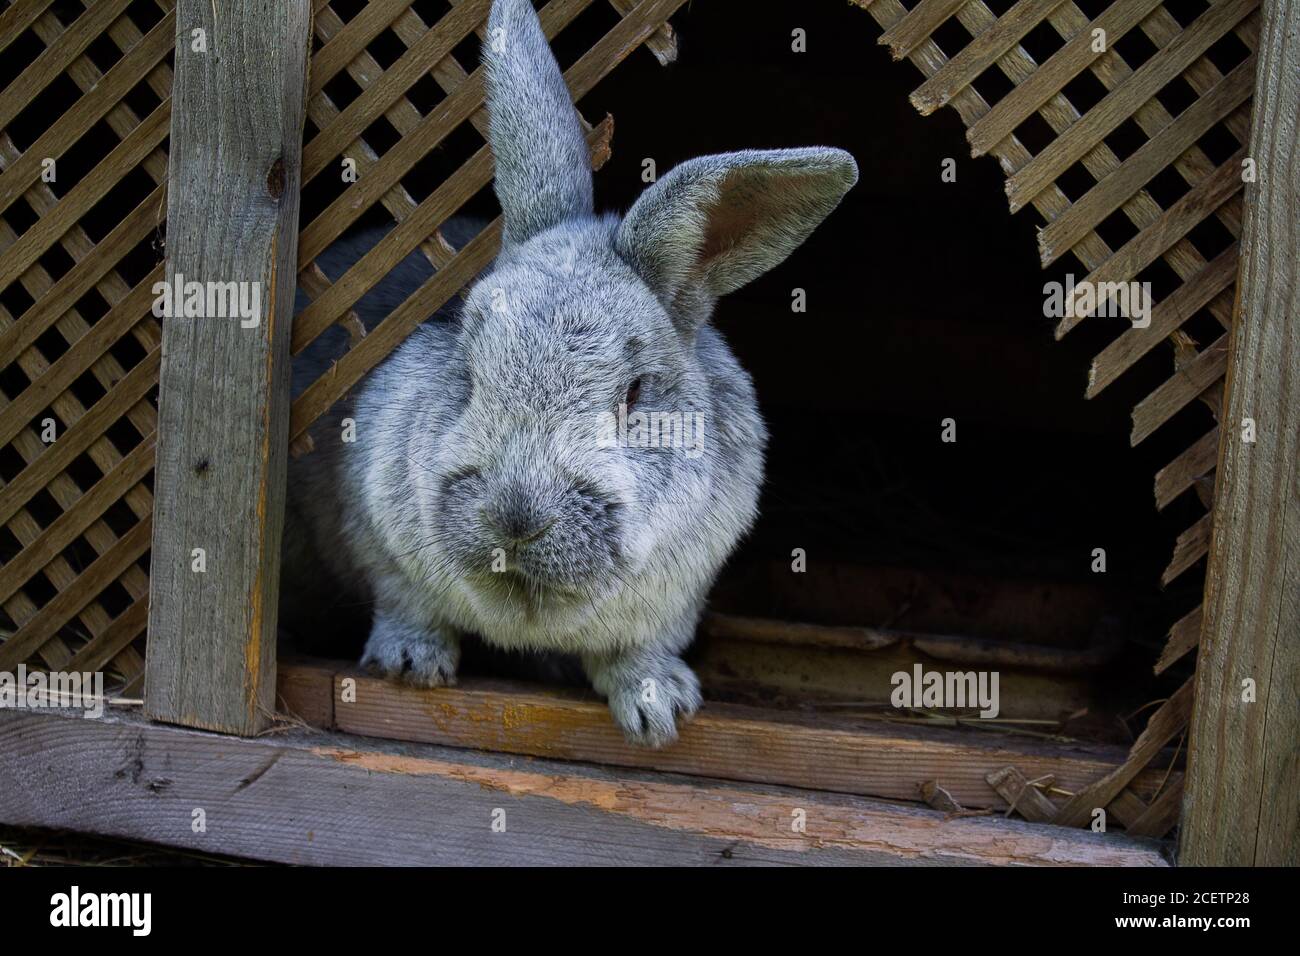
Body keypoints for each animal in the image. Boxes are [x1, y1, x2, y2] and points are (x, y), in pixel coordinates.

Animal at [282, 0, 858, 747]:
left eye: (635, 393)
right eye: (468, 370)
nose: (515, 516)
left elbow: (638, 651)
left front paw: (657, 712)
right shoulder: (374, 534)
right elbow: (405, 603)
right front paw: (411, 665)